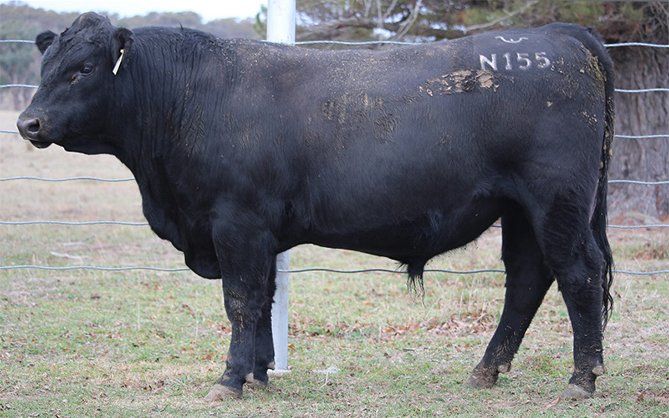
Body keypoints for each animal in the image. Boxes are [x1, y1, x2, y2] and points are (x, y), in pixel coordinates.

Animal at [17, 12, 615, 401]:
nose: (29, 123)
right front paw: (258, 373)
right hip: (519, 210)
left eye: (83, 68)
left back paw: (581, 379)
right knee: (527, 279)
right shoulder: (258, 234)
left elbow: (241, 301)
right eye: (46, 65)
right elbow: (263, 298)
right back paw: (486, 370)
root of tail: (555, 34)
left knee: (578, 275)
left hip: (556, 201)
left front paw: (229, 380)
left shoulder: (236, 223)